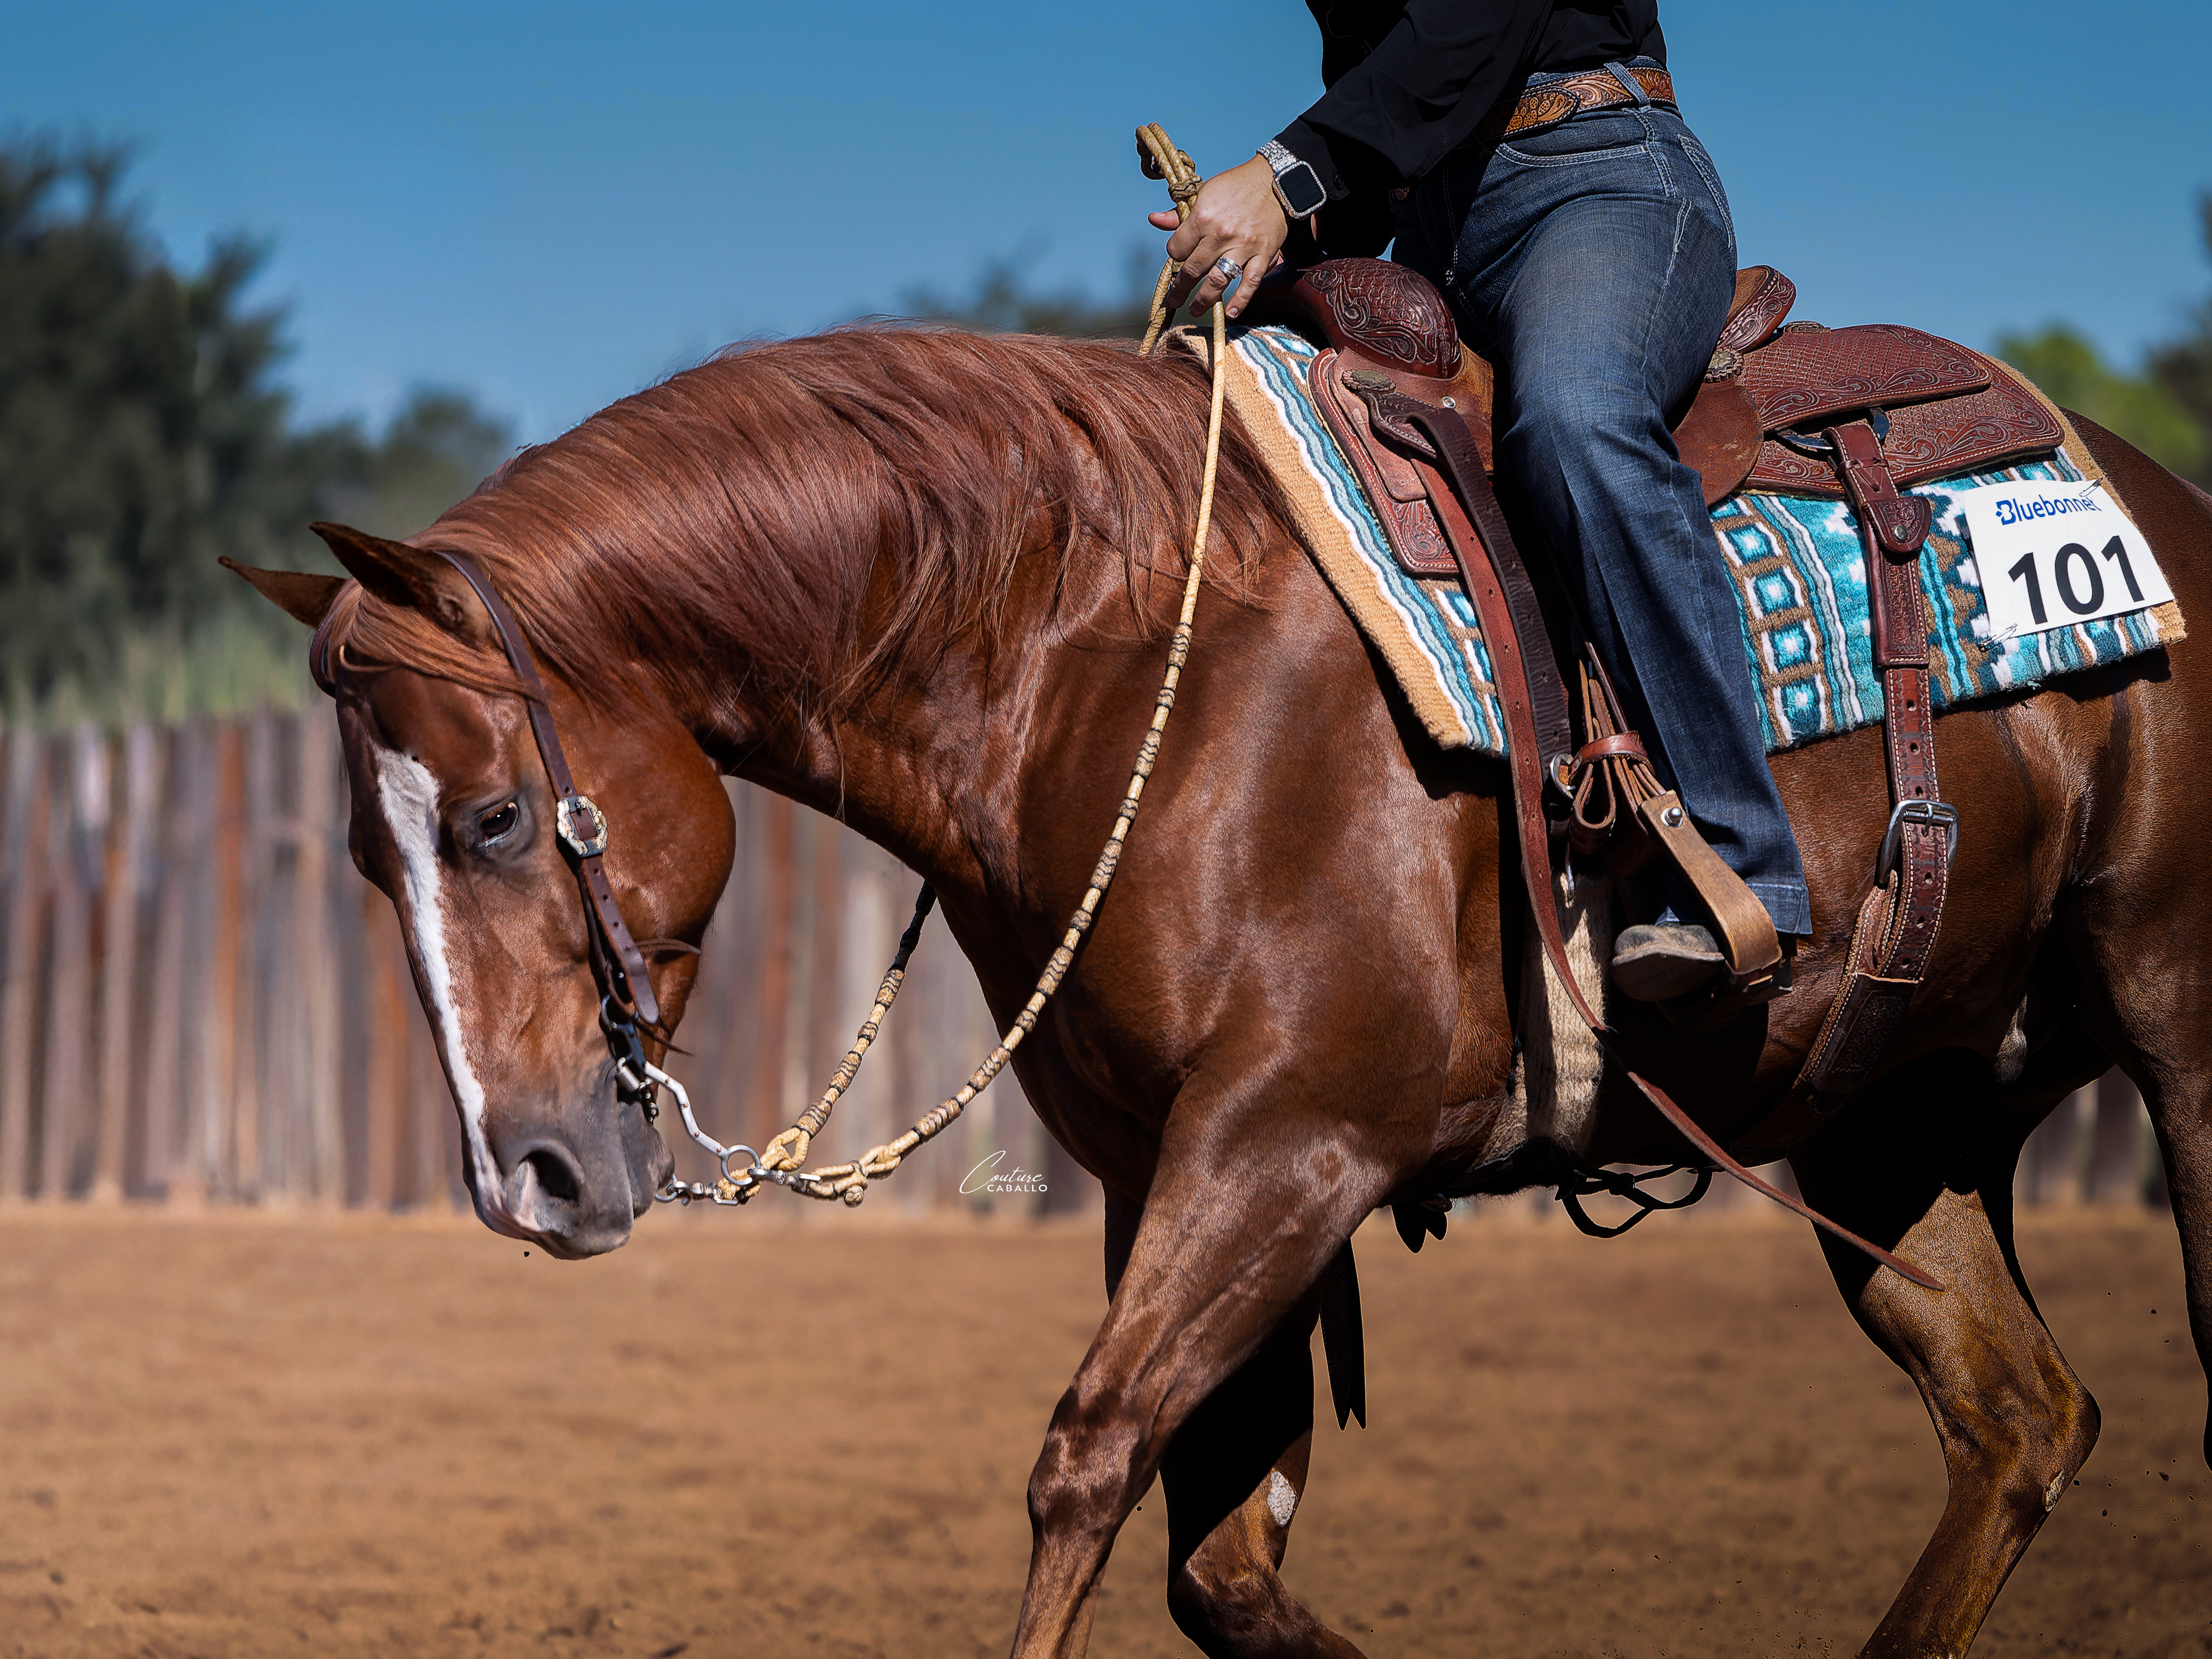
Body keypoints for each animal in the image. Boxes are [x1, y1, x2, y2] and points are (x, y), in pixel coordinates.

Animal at [231, 322, 2212, 1658]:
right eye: (364, 859)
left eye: (492, 817)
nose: (527, 1177)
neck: (1102, 664)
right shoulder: (1180, 1173)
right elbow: (1220, 1565)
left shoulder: (1290, 1145)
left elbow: (1085, 1464)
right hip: (1887, 1121)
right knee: (2018, 1417)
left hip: (2176, 1036)